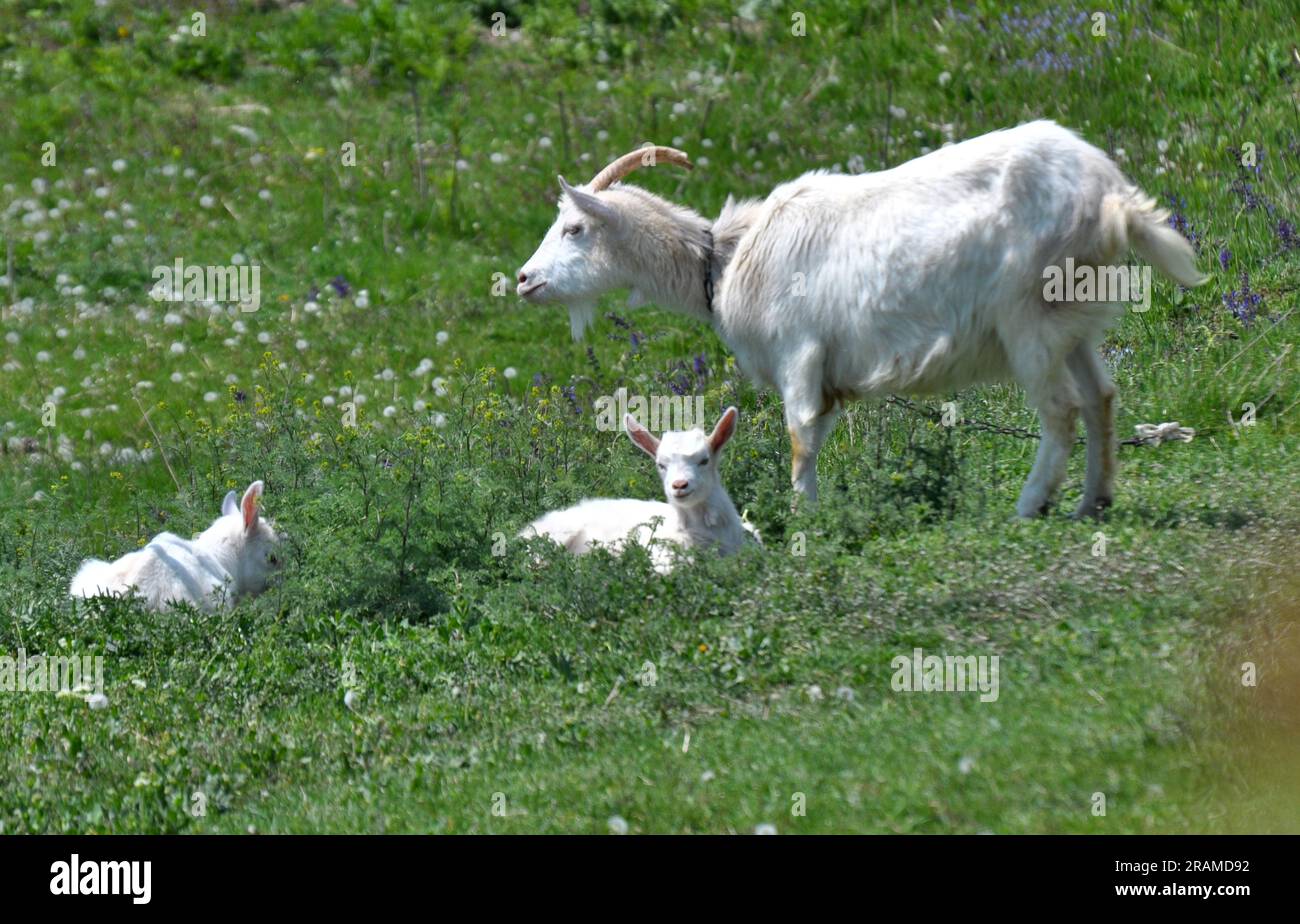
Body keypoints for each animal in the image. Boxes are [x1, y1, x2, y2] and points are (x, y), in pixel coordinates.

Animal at [517, 122, 1206, 517]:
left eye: (574, 228)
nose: (523, 279)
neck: (725, 261)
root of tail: (1109, 195)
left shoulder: (800, 351)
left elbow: (799, 436)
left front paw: (805, 522)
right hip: (1072, 316)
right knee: (1100, 397)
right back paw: (1094, 500)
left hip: (1028, 314)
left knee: (1061, 409)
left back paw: (1031, 505)